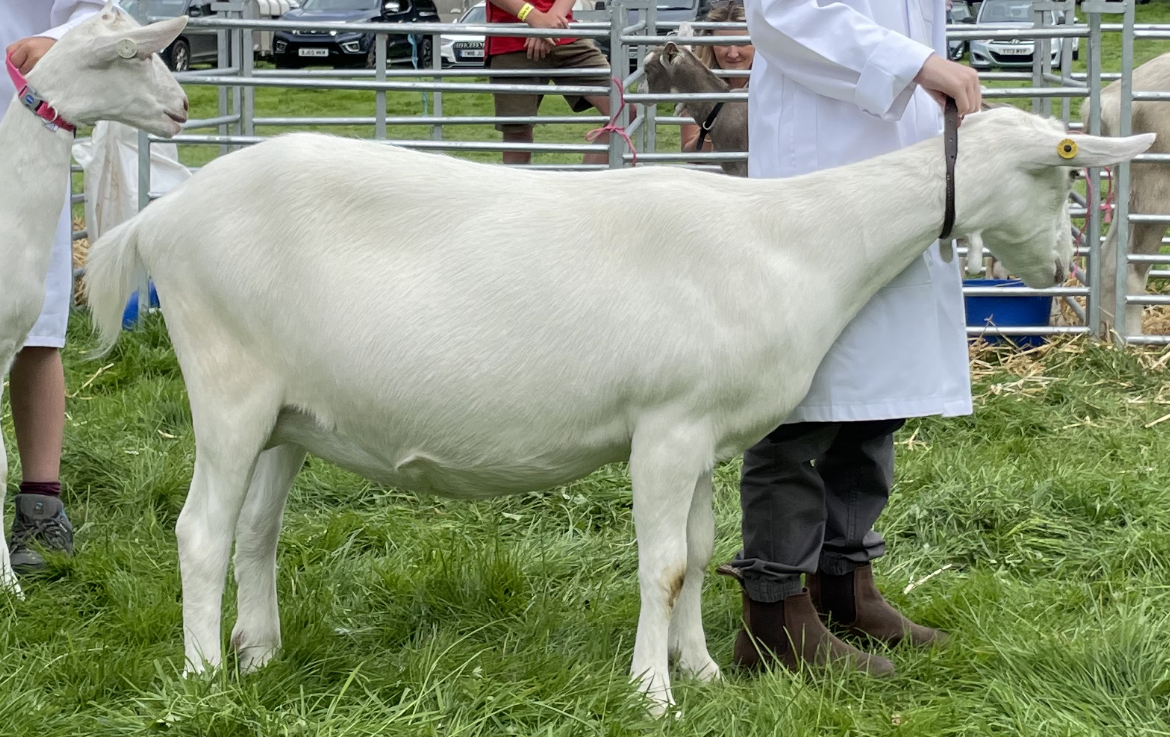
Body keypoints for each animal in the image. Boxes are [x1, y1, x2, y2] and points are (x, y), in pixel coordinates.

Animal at [83, 106, 1150, 716]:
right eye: (1062, 168)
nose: (1062, 264)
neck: (795, 239)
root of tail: (159, 218)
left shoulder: (706, 433)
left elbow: (705, 549)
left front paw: (706, 673)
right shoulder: (666, 426)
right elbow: (666, 564)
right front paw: (653, 692)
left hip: (289, 412)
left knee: (255, 531)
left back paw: (259, 656)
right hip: (227, 386)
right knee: (199, 531)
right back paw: (203, 676)